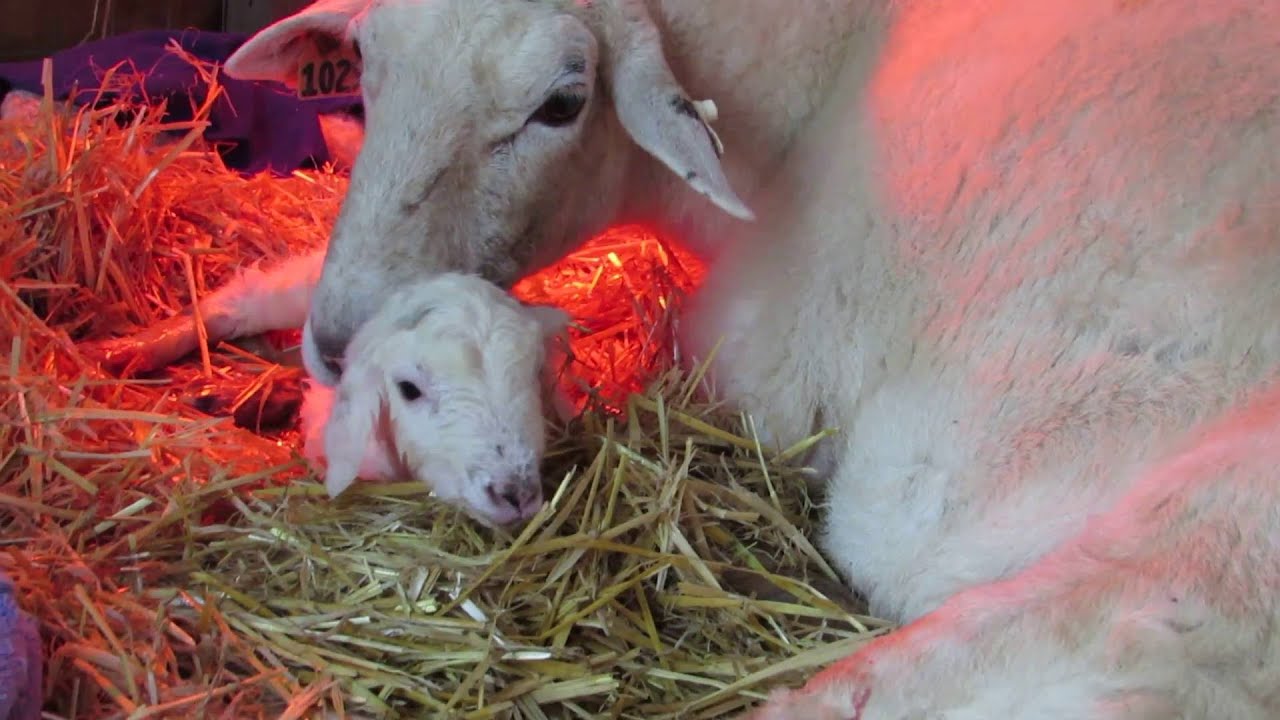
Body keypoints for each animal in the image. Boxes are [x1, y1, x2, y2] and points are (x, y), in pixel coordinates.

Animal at [221, 0, 1280, 716]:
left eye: (563, 103)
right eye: (366, 57)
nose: (336, 345)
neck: (835, 72)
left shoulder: (752, 364)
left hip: (1203, 548)